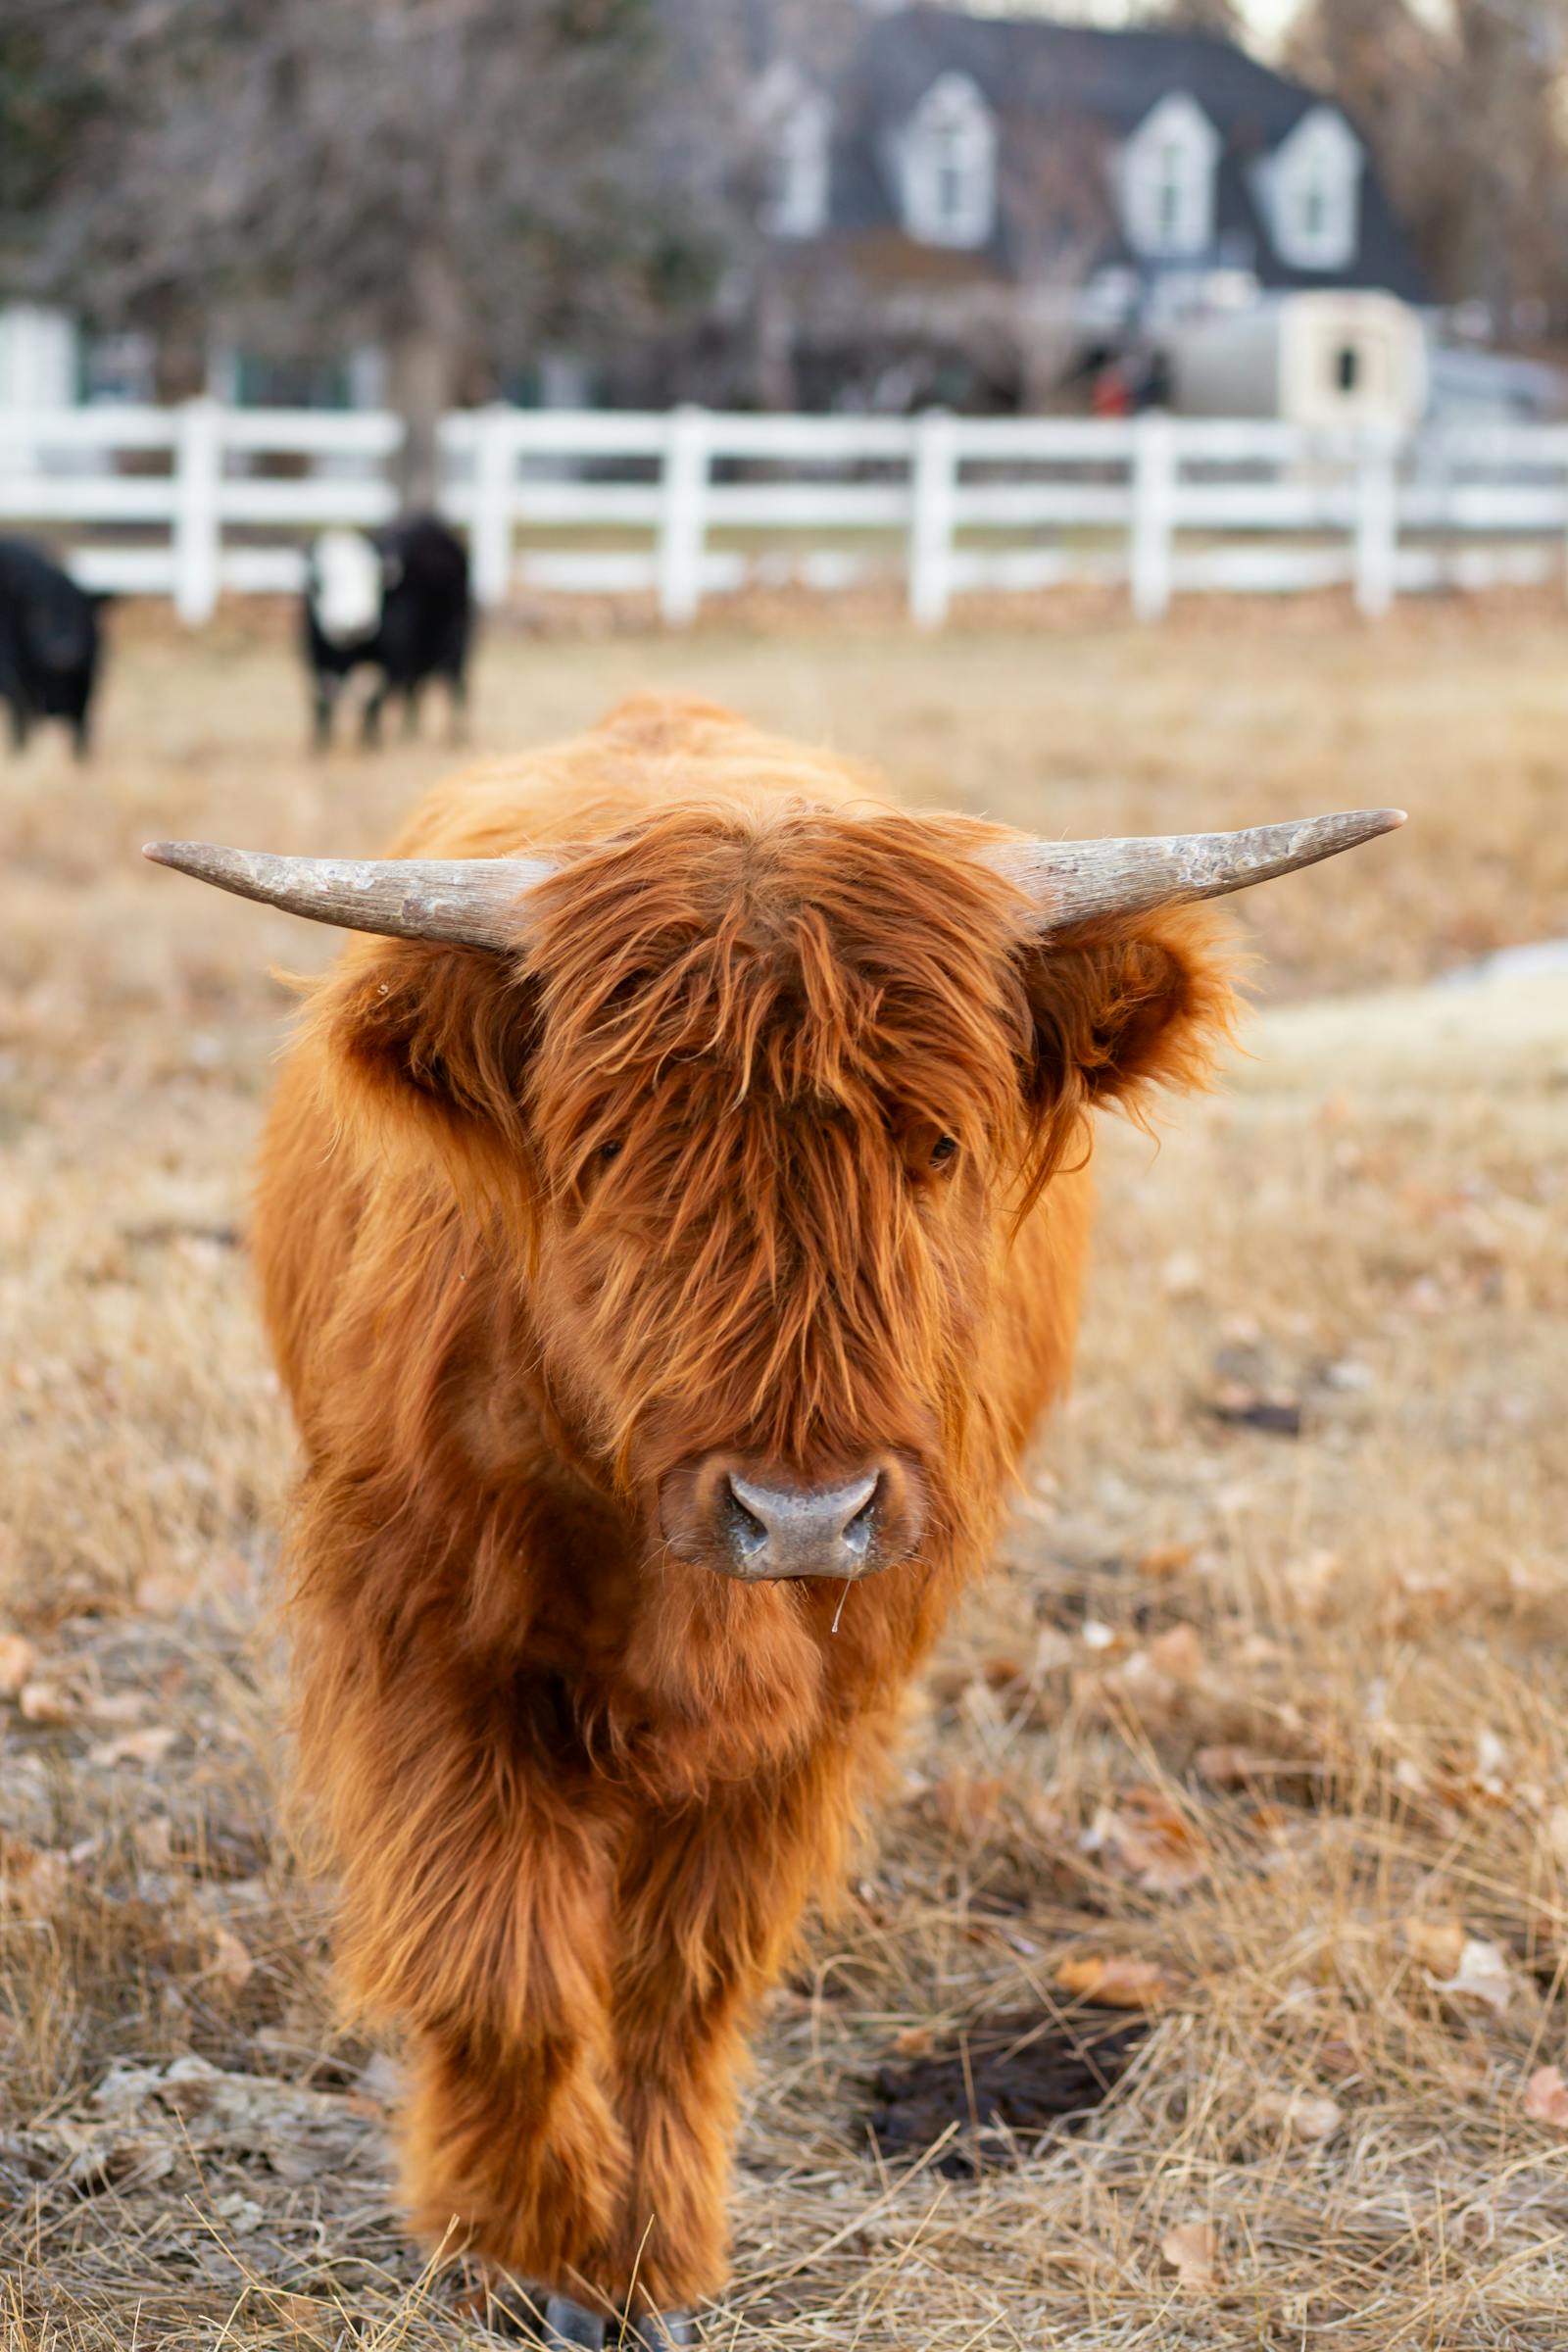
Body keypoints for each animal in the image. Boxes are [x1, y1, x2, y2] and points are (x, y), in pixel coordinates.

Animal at [0, 536, 103, 758]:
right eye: (40, 617)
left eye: (81, 613)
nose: (63, 653)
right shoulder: (14, 680)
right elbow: (23, 717)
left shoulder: (85, 685)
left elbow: (81, 727)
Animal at [145, 700, 1401, 2347]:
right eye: (618, 1157)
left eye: (936, 1148)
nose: (800, 1512)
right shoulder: (426, 1633)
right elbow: (501, 1969)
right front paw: (523, 2249)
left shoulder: (831, 1697)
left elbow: (684, 1981)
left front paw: (653, 2260)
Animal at [303, 513, 472, 751]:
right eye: (320, 583)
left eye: (373, 582)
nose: (354, 626)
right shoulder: (320, 660)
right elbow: (324, 699)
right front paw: (320, 747)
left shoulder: (384, 661)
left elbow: (371, 697)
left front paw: (370, 743)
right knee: (414, 687)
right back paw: (409, 732)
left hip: (456, 640)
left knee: (456, 683)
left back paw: (456, 735)